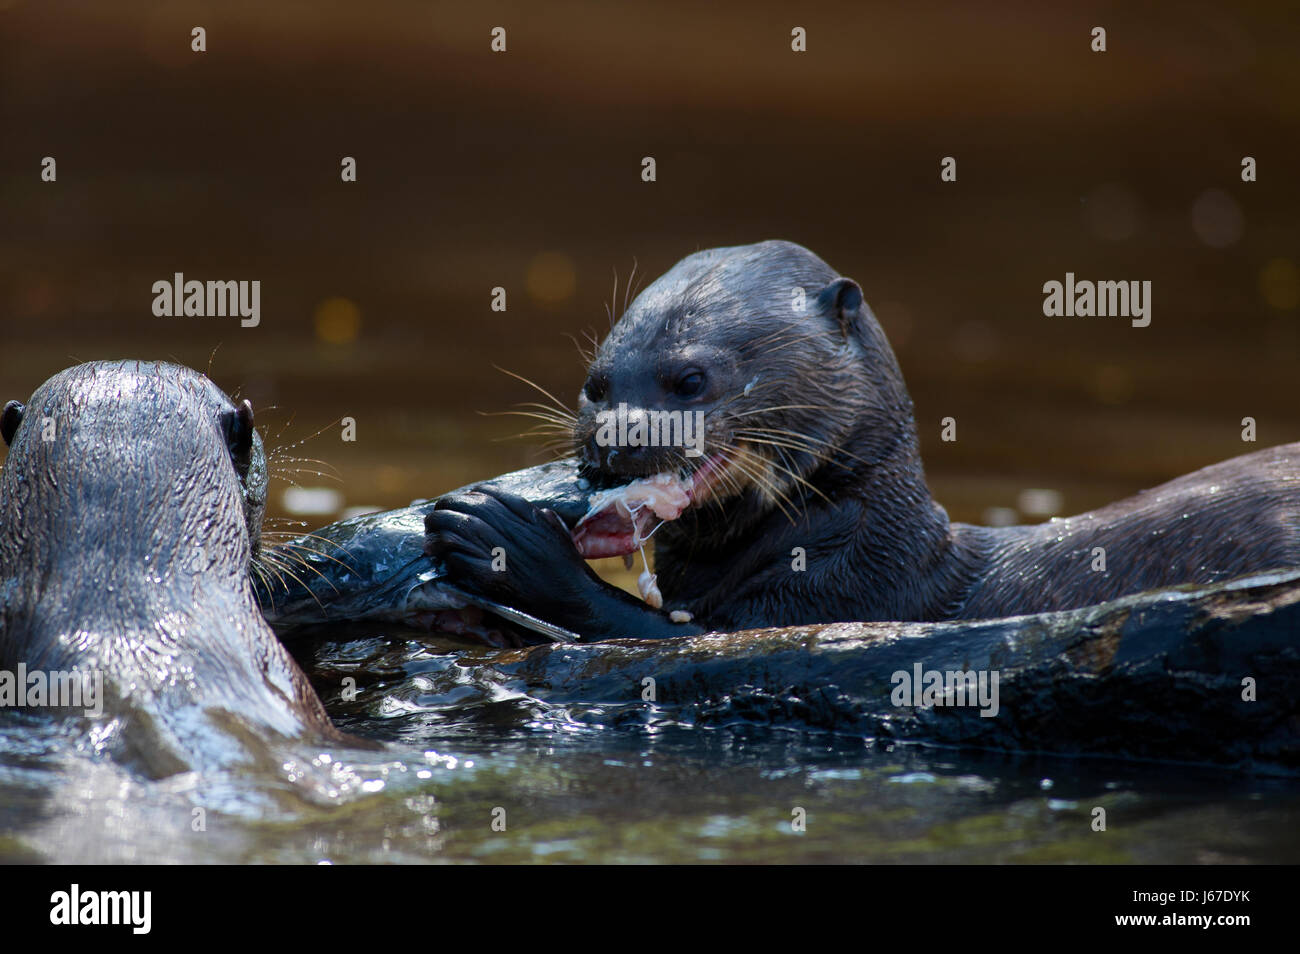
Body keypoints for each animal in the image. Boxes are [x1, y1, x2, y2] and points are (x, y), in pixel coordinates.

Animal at [424, 240, 1300, 641]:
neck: (846, 532)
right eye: (596, 383)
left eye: (689, 380)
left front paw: (497, 537)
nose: (611, 442)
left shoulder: (841, 594)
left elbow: (655, 633)